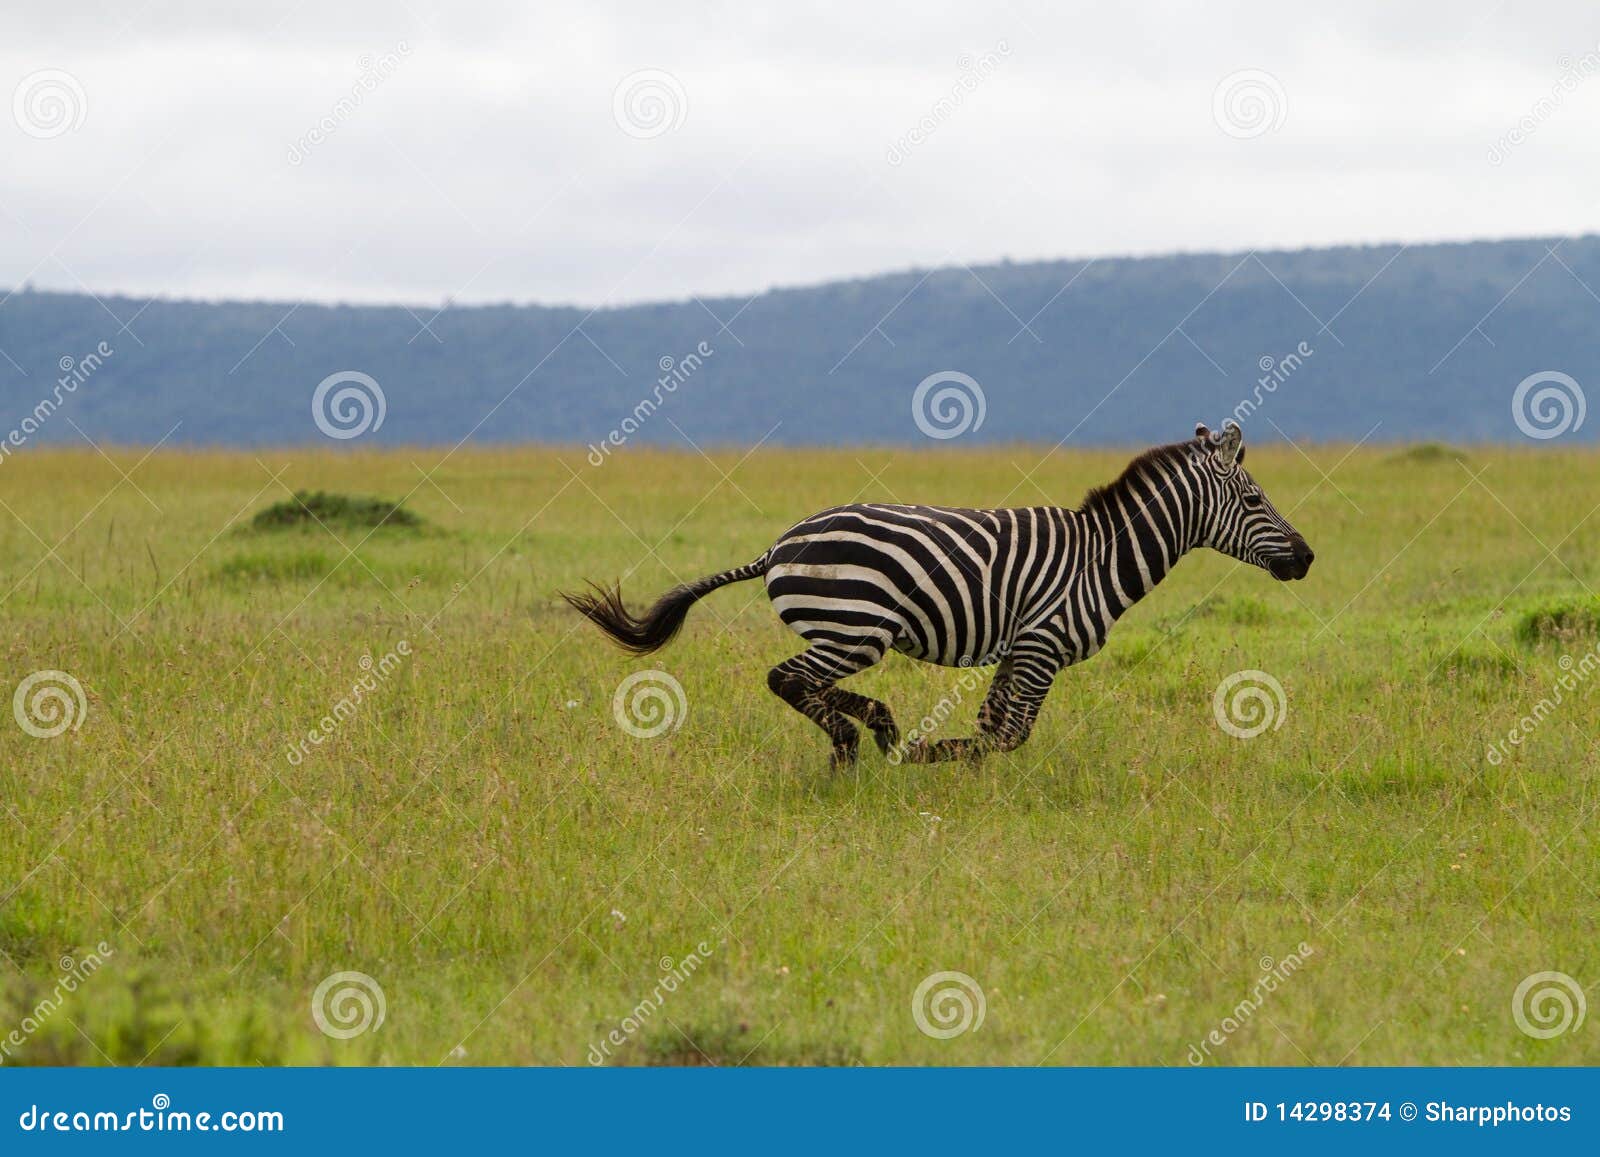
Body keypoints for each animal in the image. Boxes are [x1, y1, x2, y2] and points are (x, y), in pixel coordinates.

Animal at [564, 419, 1313, 767]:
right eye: (1254, 500)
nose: (1307, 558)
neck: (1101, 557)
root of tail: (778, 546)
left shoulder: (1019, 649)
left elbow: (995, 725)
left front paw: (943, 763)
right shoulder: (1041, 644)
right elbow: (1008, 733)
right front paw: (932, 760)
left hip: (845, 634)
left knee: (809, 684)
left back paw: (875, 726)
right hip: (855, 629)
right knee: (787, 679)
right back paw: (856, 741)